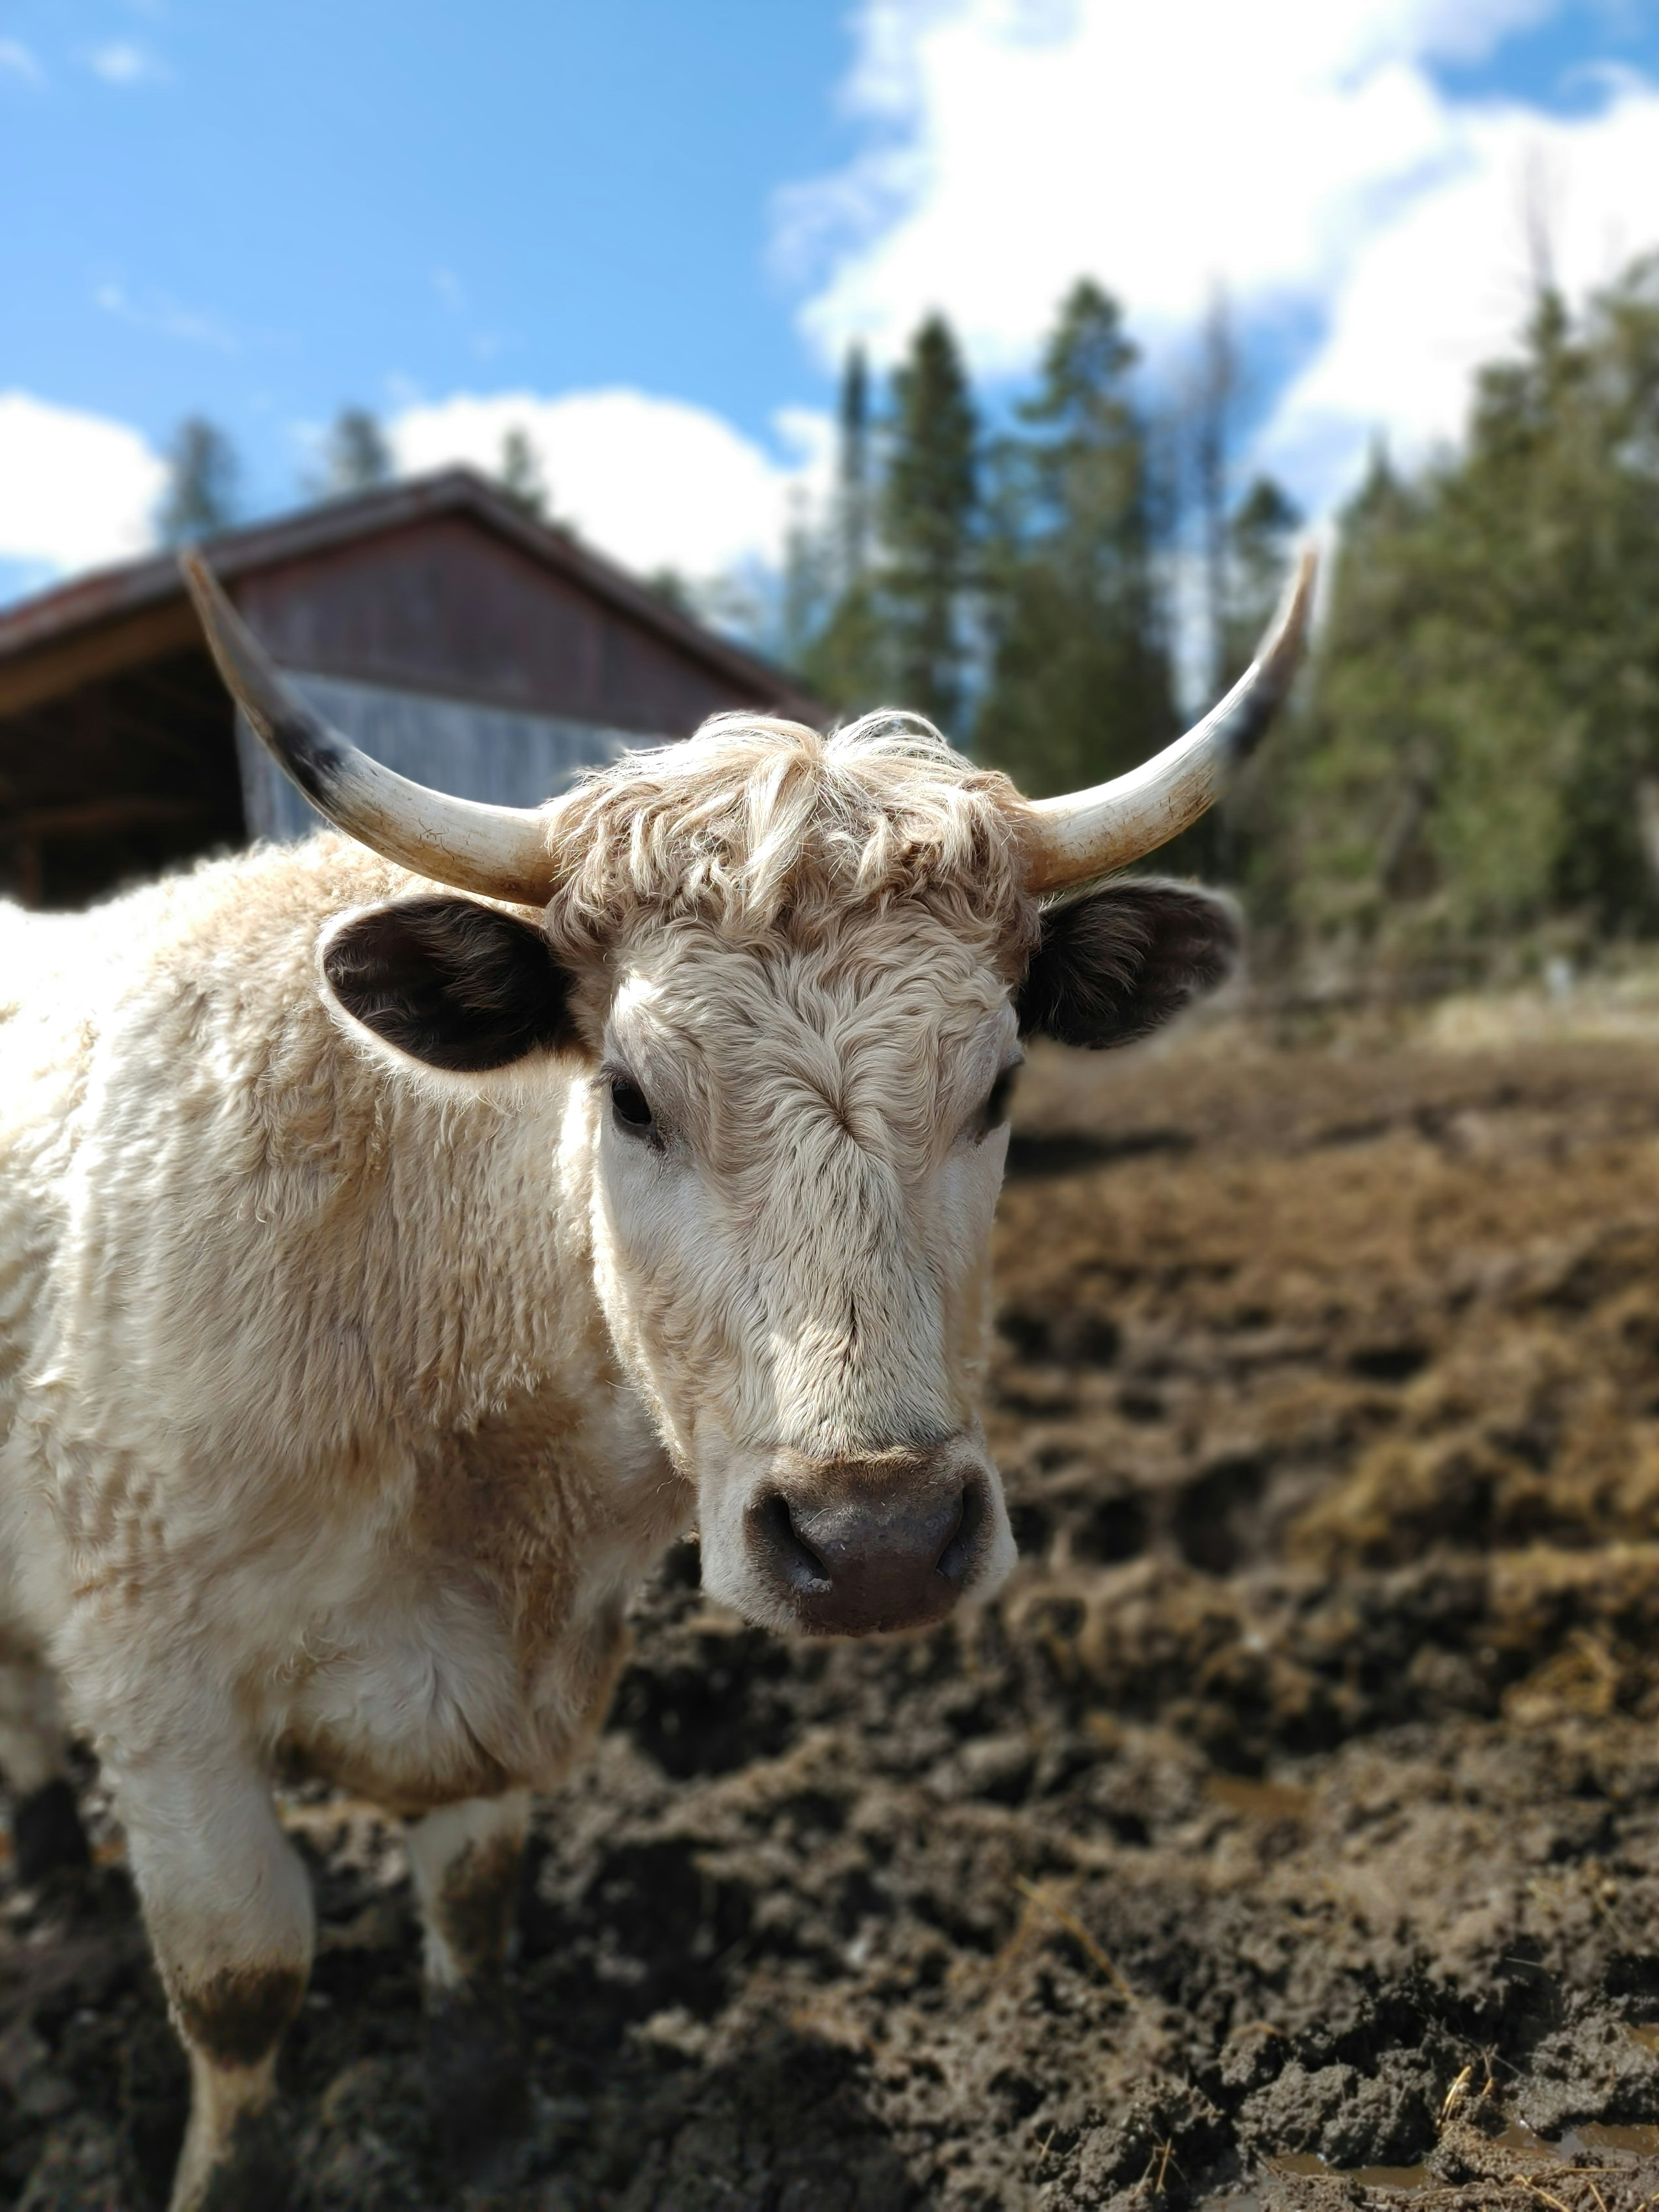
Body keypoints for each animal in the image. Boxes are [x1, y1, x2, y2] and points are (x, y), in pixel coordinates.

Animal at [0, 547, 1312, 2209]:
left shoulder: (510, 1684)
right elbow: (240, 1978)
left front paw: (490, 2132)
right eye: (628, 1094)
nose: (878, 1541)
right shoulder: (155, 1677)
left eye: (1001, 1082)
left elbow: (477, 1910)